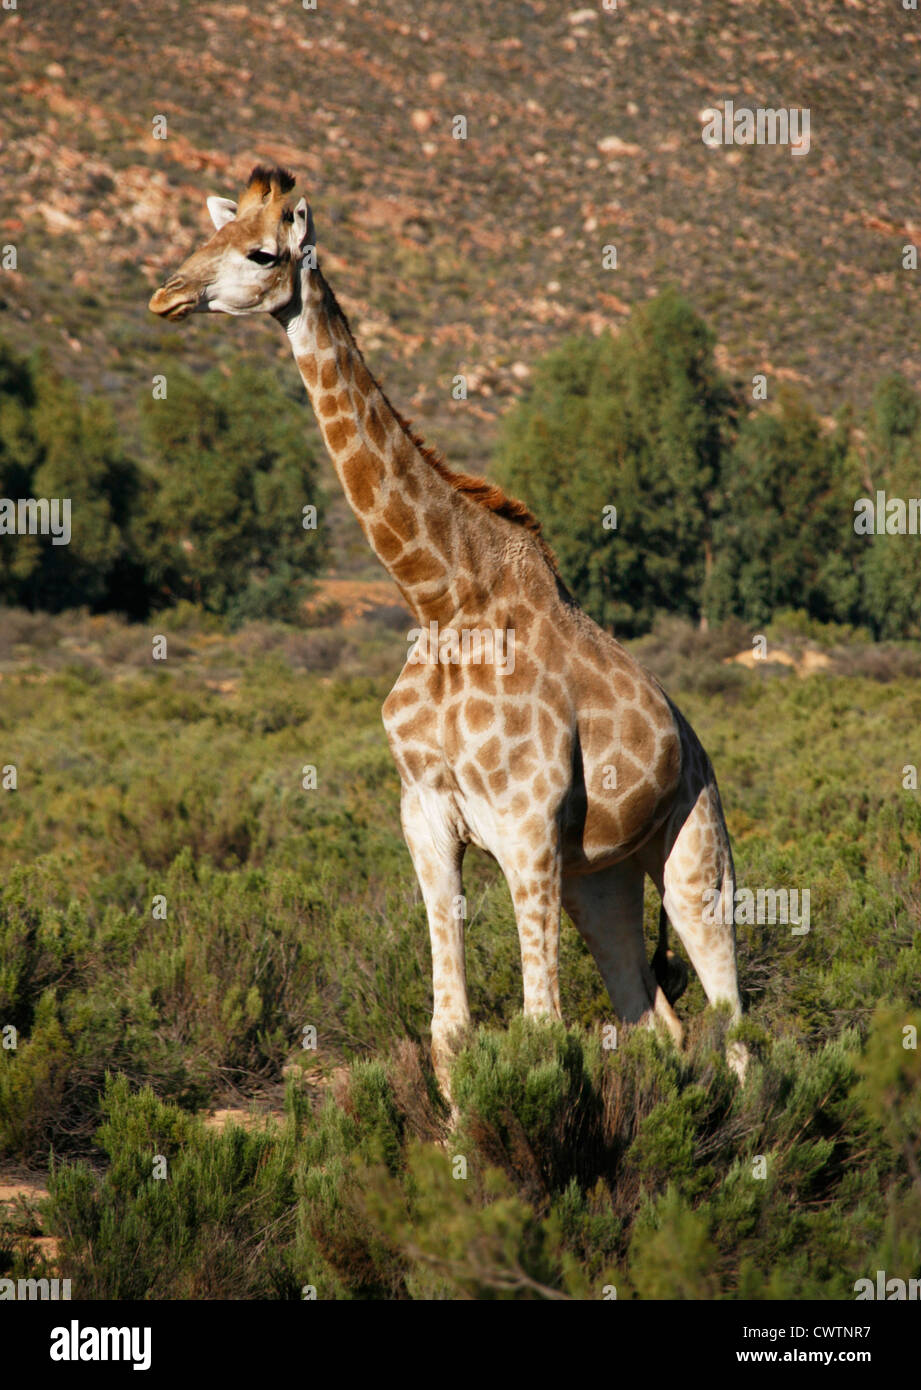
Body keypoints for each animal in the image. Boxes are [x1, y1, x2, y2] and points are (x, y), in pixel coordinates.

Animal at [149, 166, 747, 1097]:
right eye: (208, 233)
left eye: (260, 252)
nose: (166, 294)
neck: (439, 599)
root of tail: (692, 743)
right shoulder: (425, 812)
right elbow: (452, 1032)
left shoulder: (527, 822)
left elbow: (539, 1027)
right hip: (600, 879)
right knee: (660, 1023)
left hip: (693, 855)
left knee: (736, 1028)